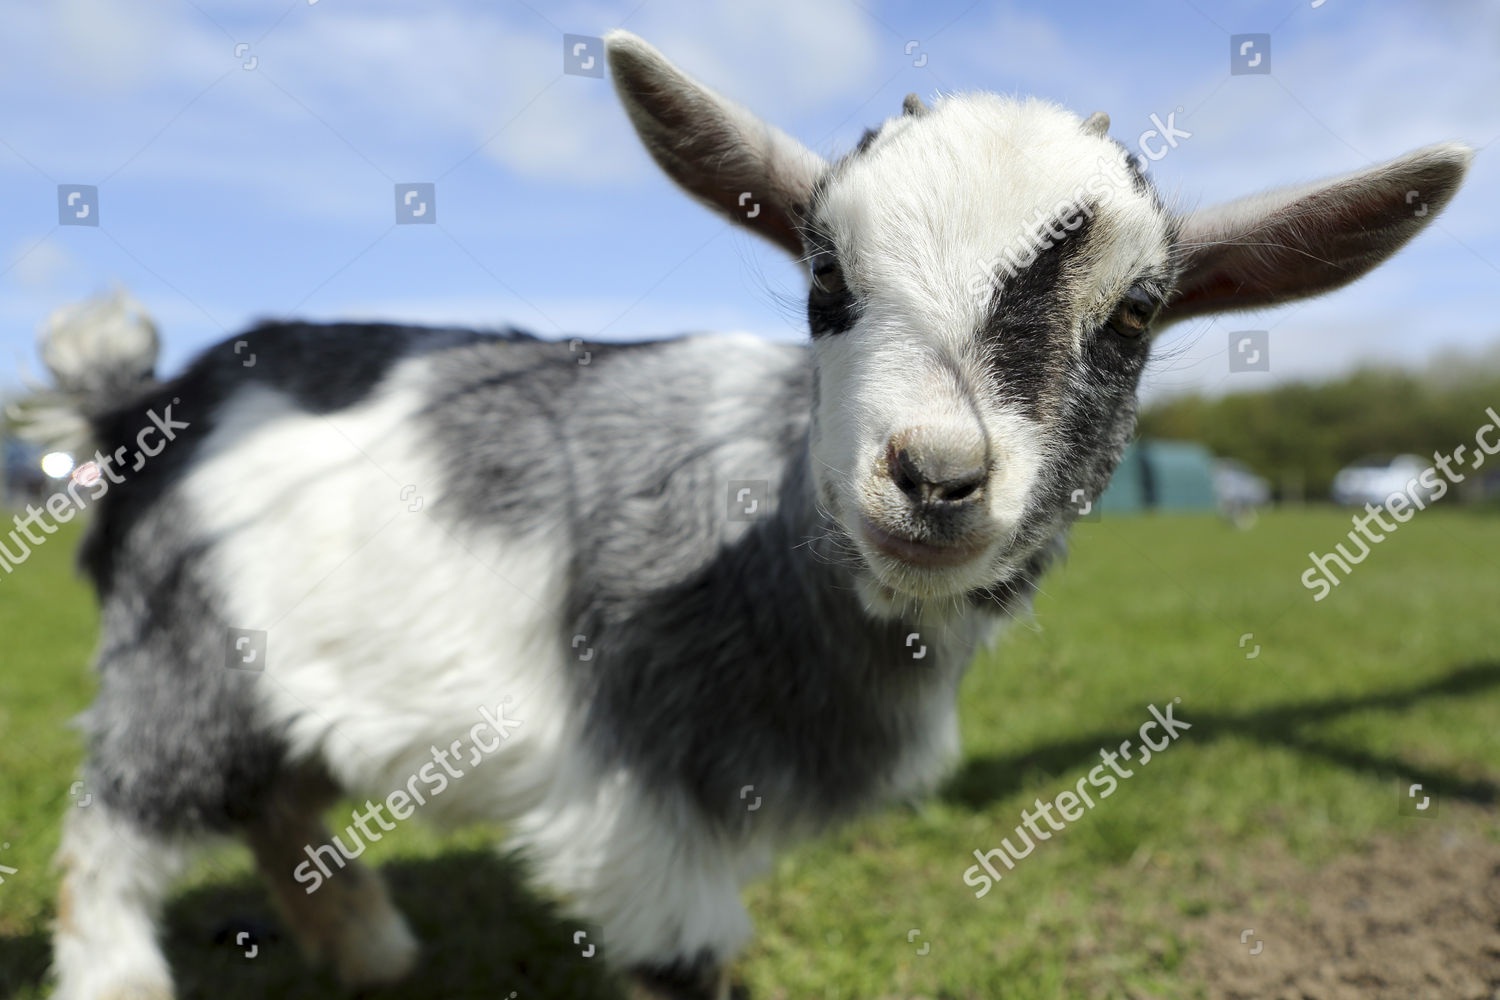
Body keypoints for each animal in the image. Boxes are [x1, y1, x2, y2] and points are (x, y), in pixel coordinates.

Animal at [29, 29, 1470, 1000]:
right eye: (826, 278)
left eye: (1134, 314)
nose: (936, 474)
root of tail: (142, 401)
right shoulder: (640, 800)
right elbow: (683, 957)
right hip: (182, 656)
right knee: (118, 825)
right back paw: (125, 975)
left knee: (275, 805)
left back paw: (375, 950)